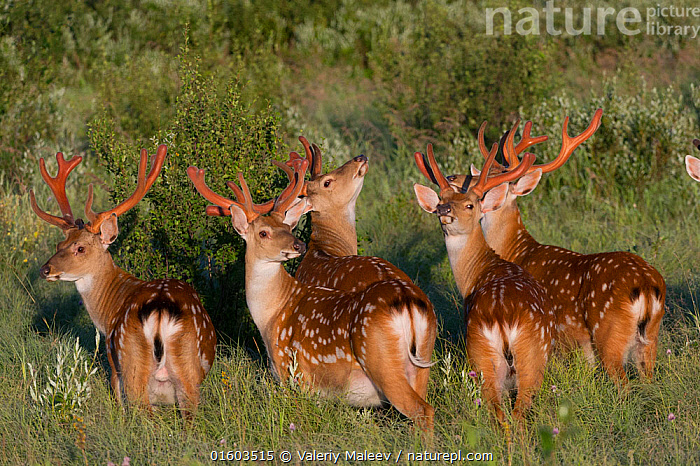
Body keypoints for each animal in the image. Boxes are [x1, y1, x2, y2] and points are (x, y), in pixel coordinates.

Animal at [30, 146, 216, 418]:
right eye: (59, 244)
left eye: (80, 248)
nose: (45, 269)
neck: (108, 310)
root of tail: (161, 307)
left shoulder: (111, 359)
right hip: (188, 365)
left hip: (130, 359)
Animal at [187, 158, 437, 430]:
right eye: (264, 232)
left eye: (287, 227)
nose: (299, 245)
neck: (272, 314)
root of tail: (408, 302)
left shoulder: (292, 373)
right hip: (422, 360)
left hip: (381, 361)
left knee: (423, 410)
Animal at [413, 142, 555, 422]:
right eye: (441, 200)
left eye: (469, 205)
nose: (443, 210)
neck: (480, 270)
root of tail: (504, 317)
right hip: (525, 354)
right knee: (516, 413)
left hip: (486, 356)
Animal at [444, 109, 666, 382]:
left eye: (490, 185)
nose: (451, 177)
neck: (516, 250)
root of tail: (646, 285)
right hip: (649, 338)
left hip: (608, 331)